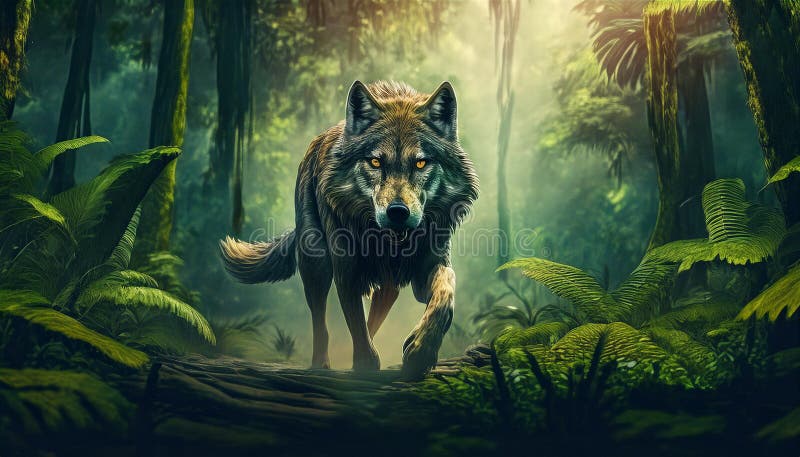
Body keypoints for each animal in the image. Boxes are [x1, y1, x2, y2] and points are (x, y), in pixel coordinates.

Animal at [220, 80, 478, 378]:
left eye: (420, 163)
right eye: (375, 162)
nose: (397, 212)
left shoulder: (428, 269)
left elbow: (445, 293)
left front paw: (420, 352)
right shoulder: (346, 271)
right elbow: (355, 324)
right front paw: (365, 367)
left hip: (389, 285)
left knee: (375, 314)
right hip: (316, 264)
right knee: (320, 320)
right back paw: (320, 365)